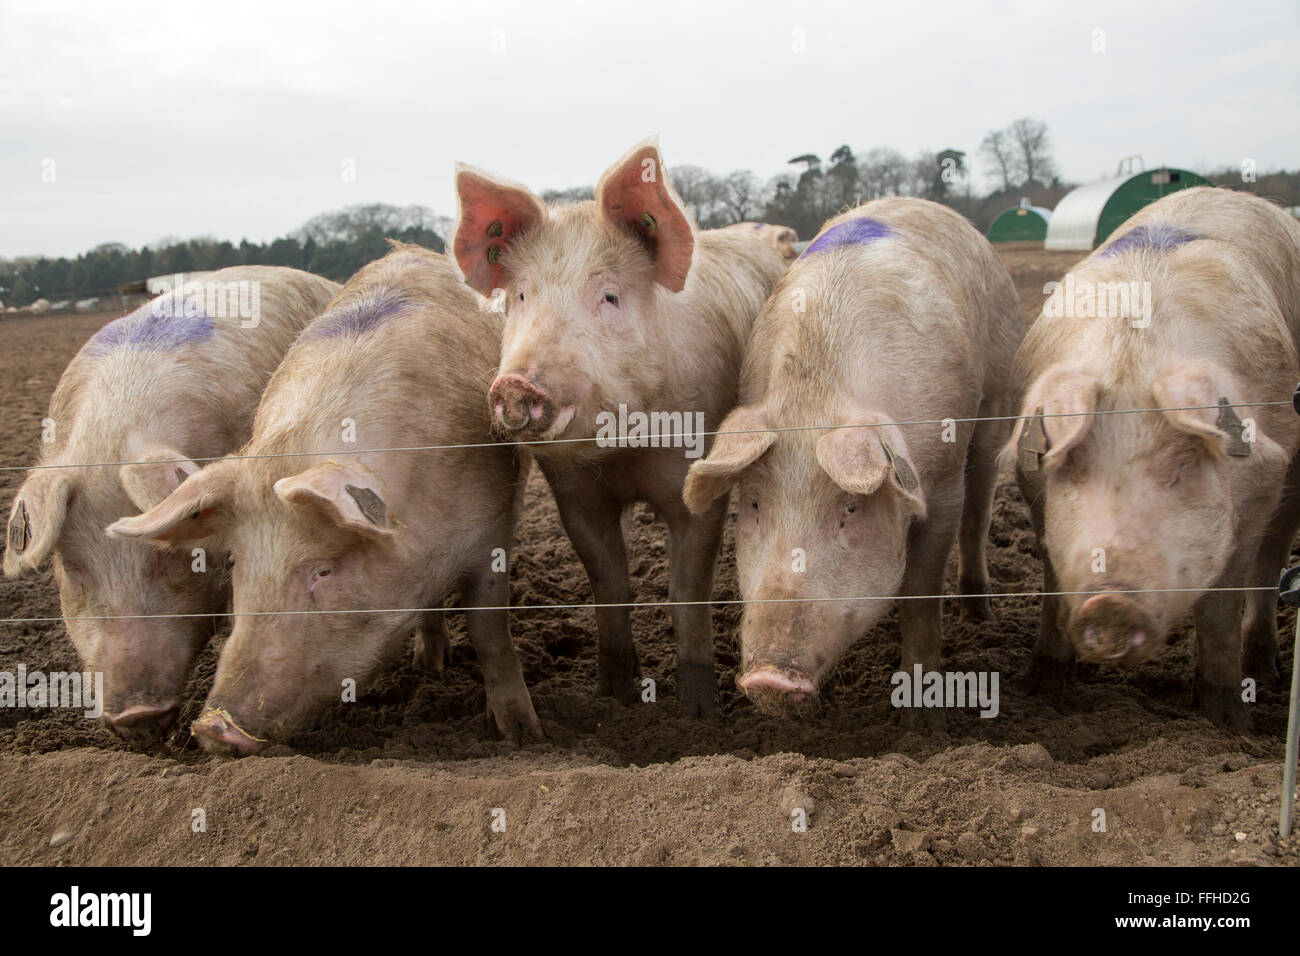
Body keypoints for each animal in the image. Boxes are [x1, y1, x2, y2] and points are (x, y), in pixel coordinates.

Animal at [108, 245, 540, 754]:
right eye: (235, 563)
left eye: (323, 570)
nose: (213, 728)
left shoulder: (493, 529)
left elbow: (490, 632)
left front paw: (523, 737)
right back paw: (430, 665)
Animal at [452, 137, 786, 717]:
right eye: (520, 296)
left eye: (608, 296)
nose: (515, 384)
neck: (623, 449)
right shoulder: (574, 493)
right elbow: (609, 582)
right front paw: (614, 698)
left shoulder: (695, 475)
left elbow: (686, 591)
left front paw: (701, 714)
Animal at [682, 198, 1023, 727]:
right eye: (754, 504)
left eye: (851, 507)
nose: (769, 679)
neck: (818, 396)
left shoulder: (943, 482)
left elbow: (920, 595)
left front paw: (923, 726)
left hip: (997, 398)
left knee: (982, 499)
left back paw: (980, 612)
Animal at [1007, 187, 1300, 730]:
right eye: (1074, 467)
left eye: (1180, 469)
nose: (1109, 605)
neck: (1134, 353)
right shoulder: (1032, 483)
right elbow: (1053, 579)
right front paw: (1041, 690)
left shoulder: (1263, 476)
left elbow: (1221, 605)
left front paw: (1227, 724)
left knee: (1272, 558)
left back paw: (1264, 672)